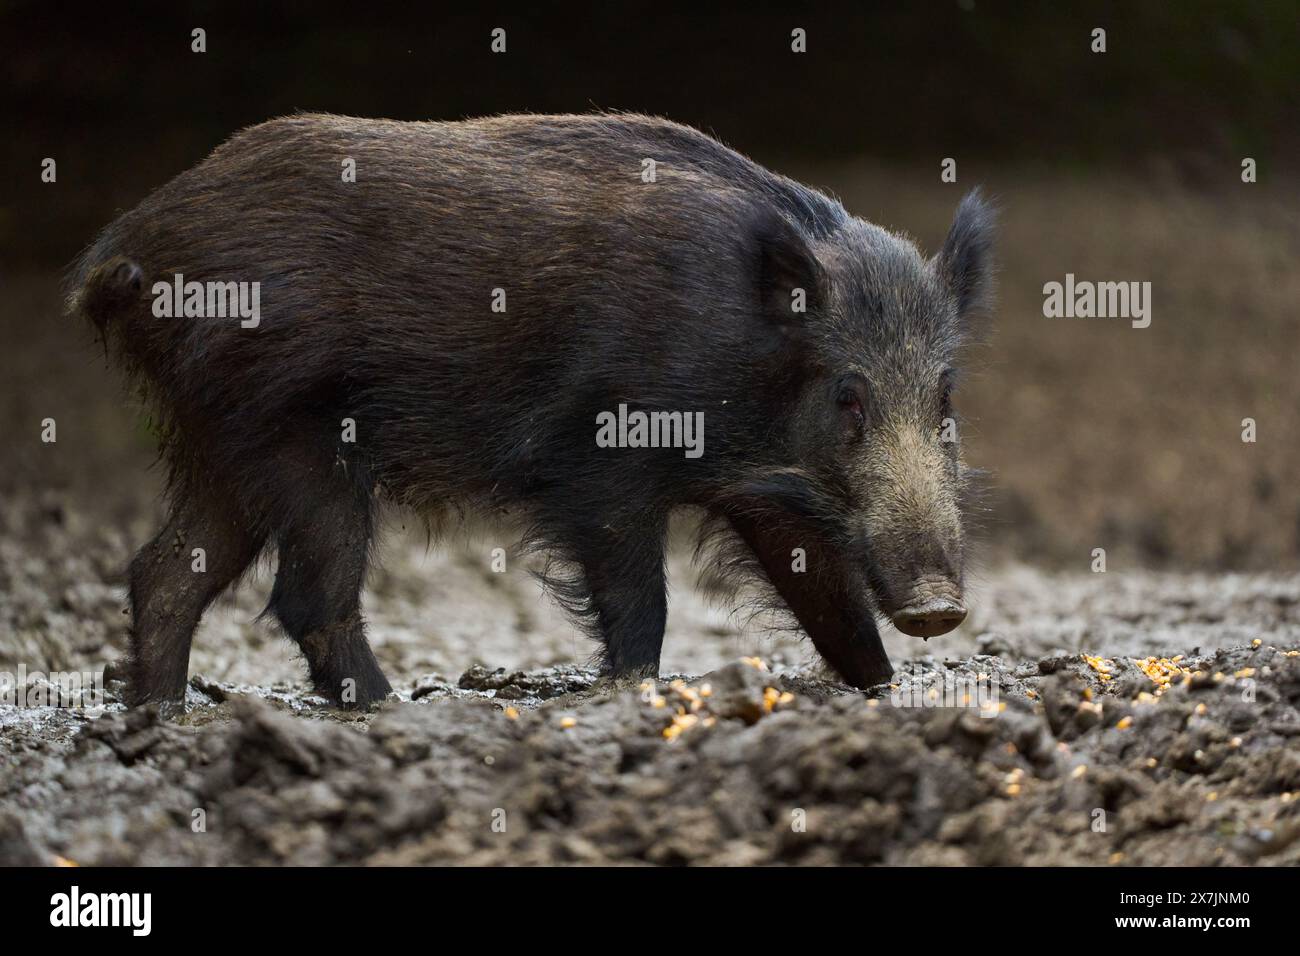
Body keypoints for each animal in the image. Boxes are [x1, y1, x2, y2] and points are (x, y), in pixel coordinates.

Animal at [67, 113, 993, 711]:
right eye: (847, 393)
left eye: (946, 393)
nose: (939, 606)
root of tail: (124, 254)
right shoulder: (600, 457)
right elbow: (637, 595)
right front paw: (631, 691)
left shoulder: (768, 495)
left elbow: (827, 593)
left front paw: (883, 689)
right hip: (296, 438)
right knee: (303, 594)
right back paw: (387, 707)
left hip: (229, 442)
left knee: (164, 573)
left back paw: (162, 715)